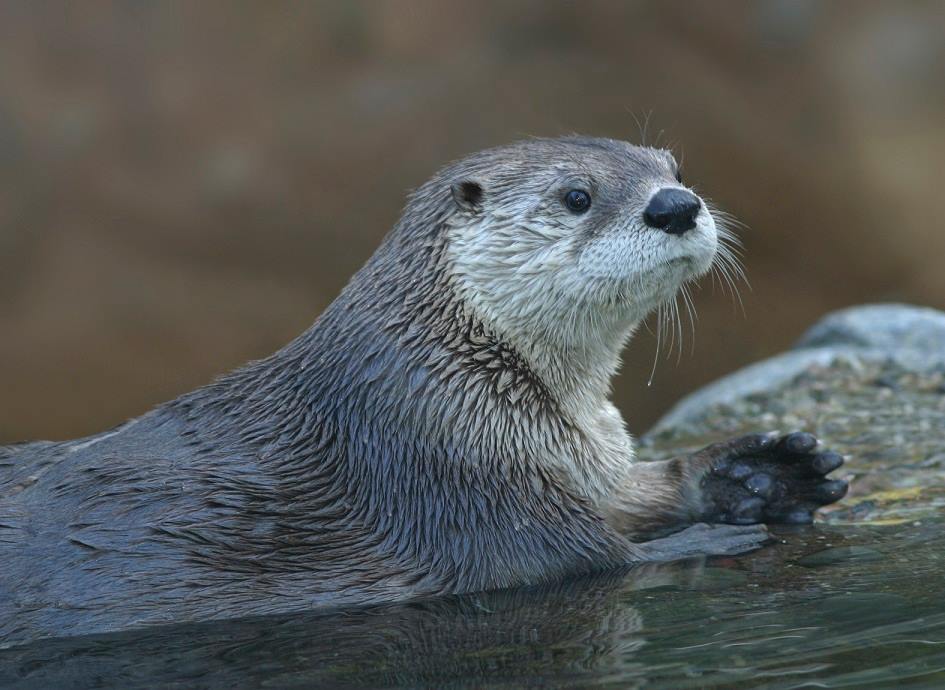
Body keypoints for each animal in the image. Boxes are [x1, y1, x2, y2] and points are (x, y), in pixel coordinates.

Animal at [0, 137, 846, 645]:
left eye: (673, 170)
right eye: (576, 195)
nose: (676, 206)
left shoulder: (574, 458)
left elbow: (631, 494)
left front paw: (760, 471)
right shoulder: (444, 464)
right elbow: (580, 558)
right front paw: (713, 537)